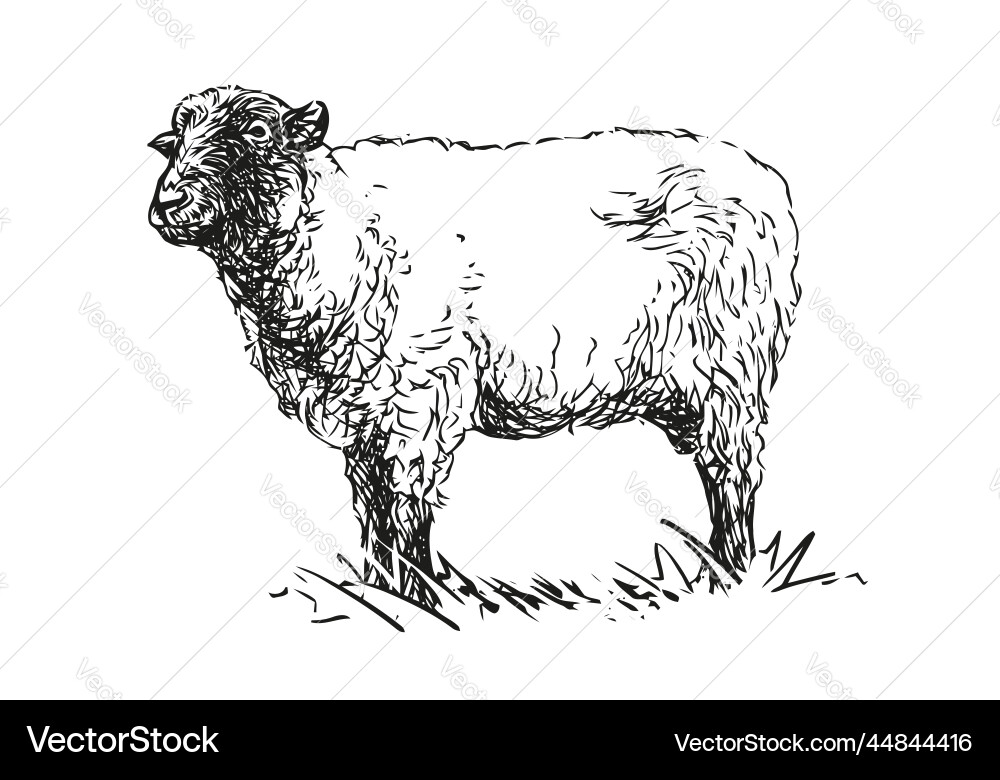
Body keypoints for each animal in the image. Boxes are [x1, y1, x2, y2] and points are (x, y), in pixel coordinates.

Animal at [148, 86, 801, 606]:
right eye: (175, 140)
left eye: (258, 133)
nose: (169, 203)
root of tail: (761, 176)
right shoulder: (365, 408)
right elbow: (373, 506)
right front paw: (382, 594)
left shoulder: (420, 396)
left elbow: (405, 504)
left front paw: (419, 598)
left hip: (729, 368)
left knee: (732, 475)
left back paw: (731, 574)